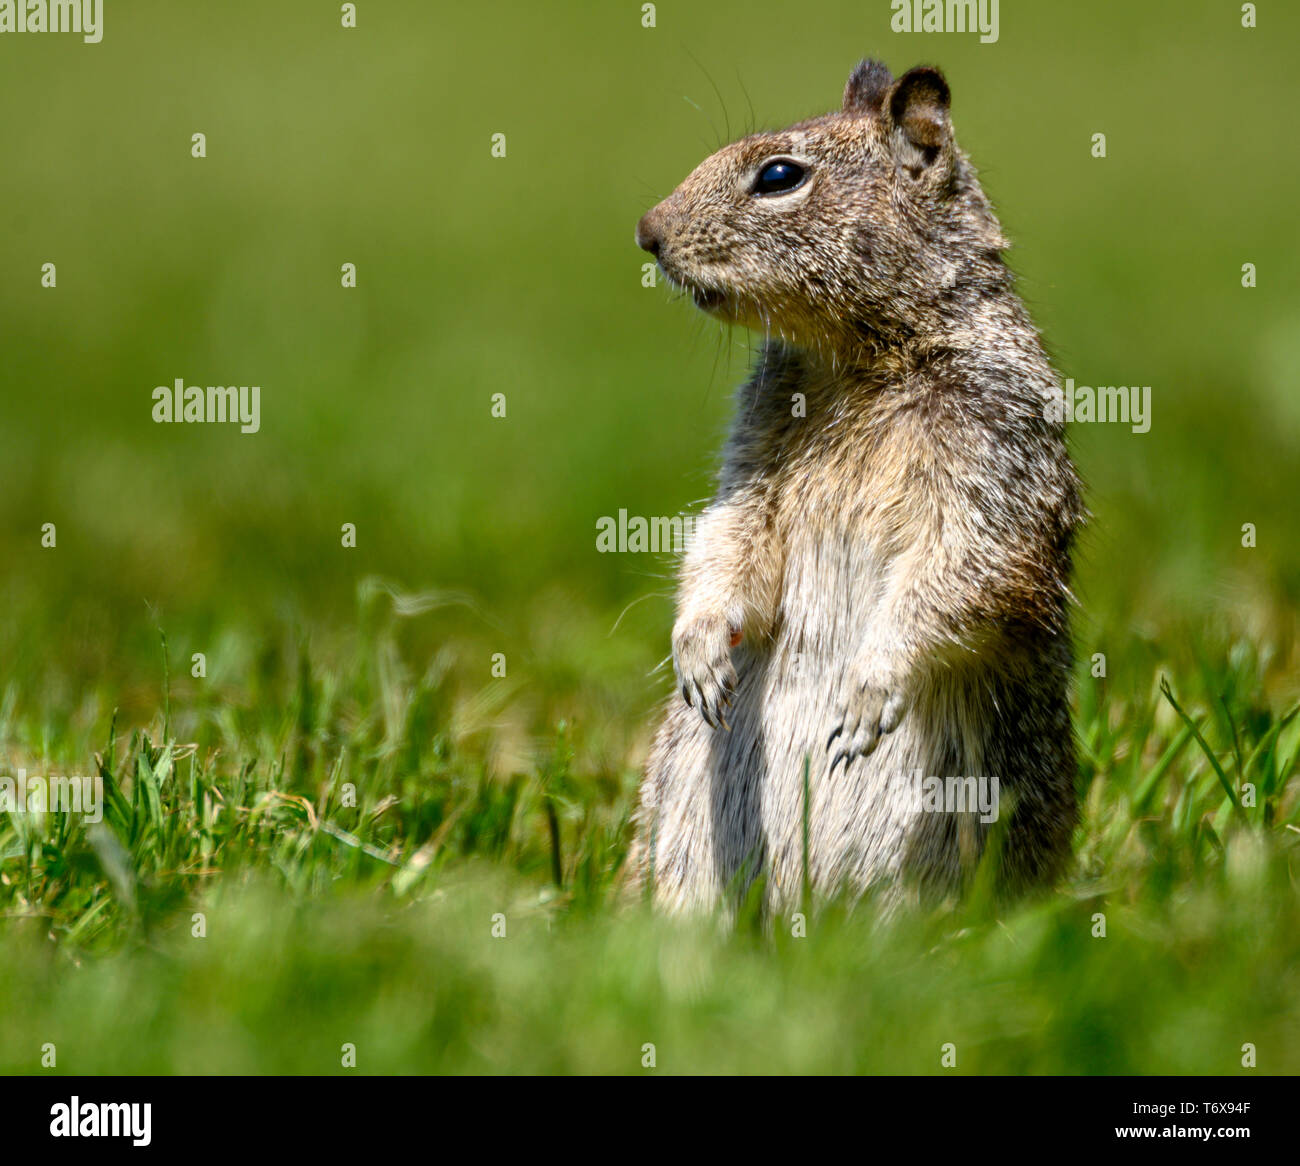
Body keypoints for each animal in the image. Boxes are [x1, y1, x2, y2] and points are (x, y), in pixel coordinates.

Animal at [628, 59, 1084, 915]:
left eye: (779, 176)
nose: (647, 231)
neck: (859, 362)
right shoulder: (756, 451)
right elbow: (729, 541)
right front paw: (698, 653)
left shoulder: (994, 447)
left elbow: (964, 568)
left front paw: (868, 694)